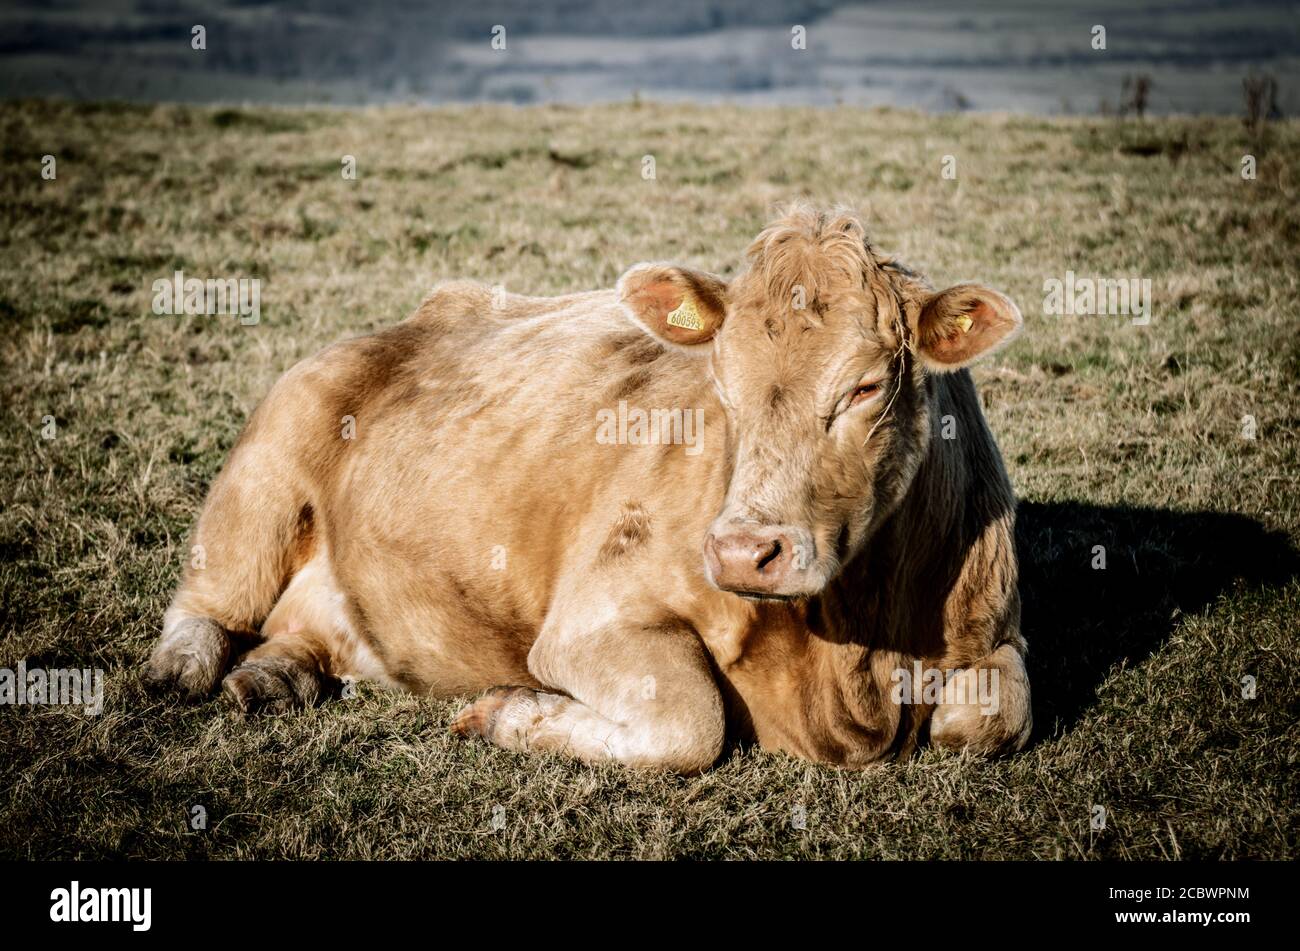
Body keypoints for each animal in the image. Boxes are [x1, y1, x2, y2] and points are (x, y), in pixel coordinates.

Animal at [146, 204, 1031, 773]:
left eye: (865, 386)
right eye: (722, 379)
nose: (745, 551)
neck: (852, 659)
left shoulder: (995, 626)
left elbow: (987, 719)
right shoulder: (590, 620)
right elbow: (691, 721)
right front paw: (509, 710)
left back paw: (269, 678)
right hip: (264, 470)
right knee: (209, 601)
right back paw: (184, 670)